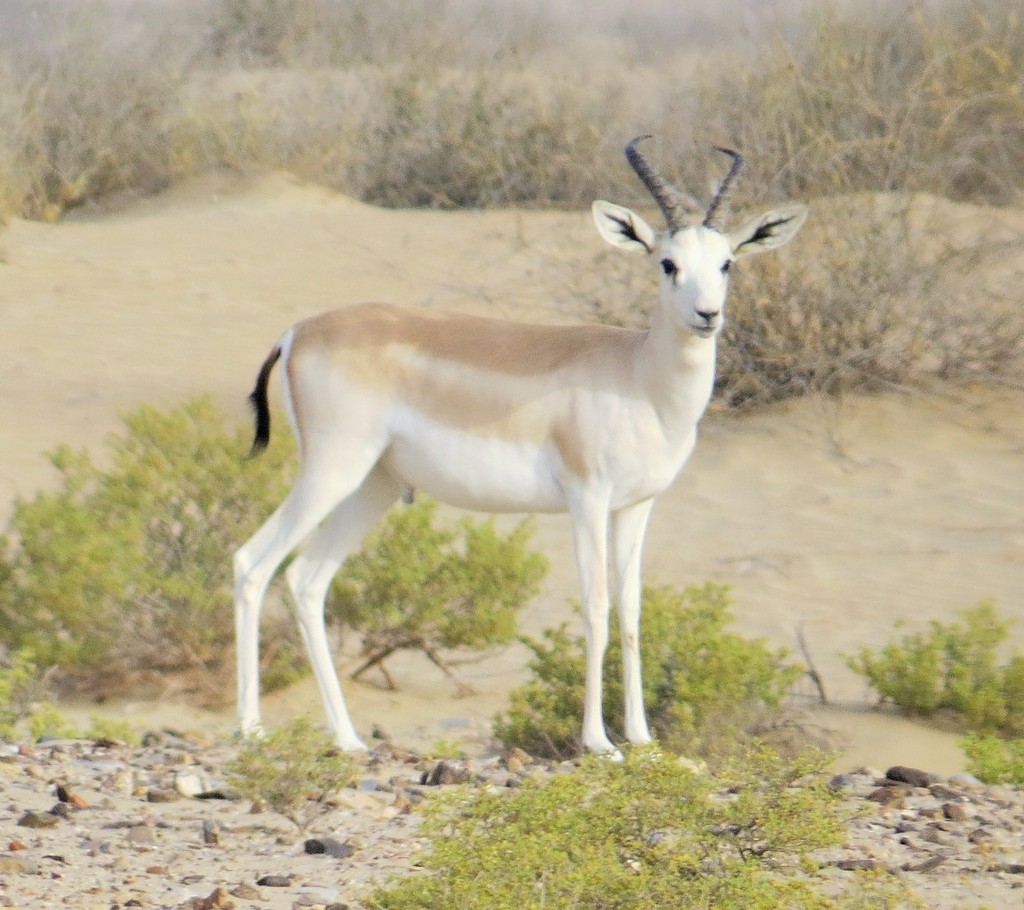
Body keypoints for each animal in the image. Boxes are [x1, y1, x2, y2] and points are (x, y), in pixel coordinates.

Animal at [234, 136, 807, 755]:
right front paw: (599, 742)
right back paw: (249, 730)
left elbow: (631, 613)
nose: (707, 315)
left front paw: (642, 737)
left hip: (374, 486)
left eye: (726, 262)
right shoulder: (587, 499)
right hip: (332, 471)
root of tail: (298, 331)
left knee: (308, 581)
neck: (639, 378)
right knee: (254, 565)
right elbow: (596, 607)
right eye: (667, 263)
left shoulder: (636, 505)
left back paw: (347, 738)